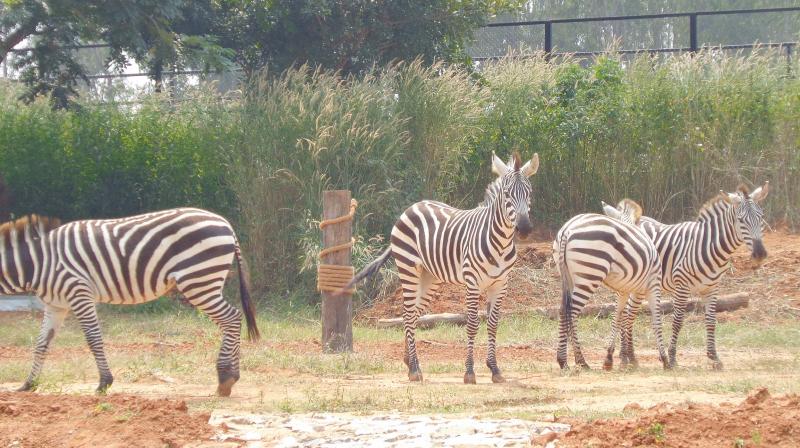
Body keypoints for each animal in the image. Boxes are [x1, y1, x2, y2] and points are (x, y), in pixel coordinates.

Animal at [1, 208, 260, 396]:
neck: (38, 262)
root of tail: (225, 224)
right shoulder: (57, 304)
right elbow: (41, 344)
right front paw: (28, 384)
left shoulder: (79, 293)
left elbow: (93, 339)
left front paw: (104, 383)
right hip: (205, 281)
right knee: (232, 319)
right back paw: (230, 377)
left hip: (199, 280)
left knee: (232, 318)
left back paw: (225, 379)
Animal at [340, 152, 539, 384]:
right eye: (507, 194)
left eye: (529, 193)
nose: (524, 229)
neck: (500, 242)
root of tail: (414, 206)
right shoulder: (472, 282)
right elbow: (472, 324)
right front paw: (469, 372)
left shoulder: (500, 284)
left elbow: (493, 324)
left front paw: (495, 369)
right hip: (409, 269)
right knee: (408, 313)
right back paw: (415, 369)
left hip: (430, 278)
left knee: (413, 315)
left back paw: (410, 362)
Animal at [553, 201, 668, 371]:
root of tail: (568, 229)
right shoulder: (650, 285)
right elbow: (655, 320)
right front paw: (663, 358)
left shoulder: (623, 290)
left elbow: (618, 317)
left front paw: (612, 358)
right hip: (590, 275)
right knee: (572, 313)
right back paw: (578, 360)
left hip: (568, 277)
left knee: (563, 311)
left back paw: (565, 360)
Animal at [603, 182, 769, 370]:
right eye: (740, 220)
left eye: (761, 217)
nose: (760, 254)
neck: (710, 246)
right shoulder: (682, 286)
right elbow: (678, 321)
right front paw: (672, 357)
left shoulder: (712, 288)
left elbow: (711, 321)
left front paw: (714, 357)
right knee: (626, 313)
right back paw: (625, 357)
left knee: (629, 314)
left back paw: (629, 356)